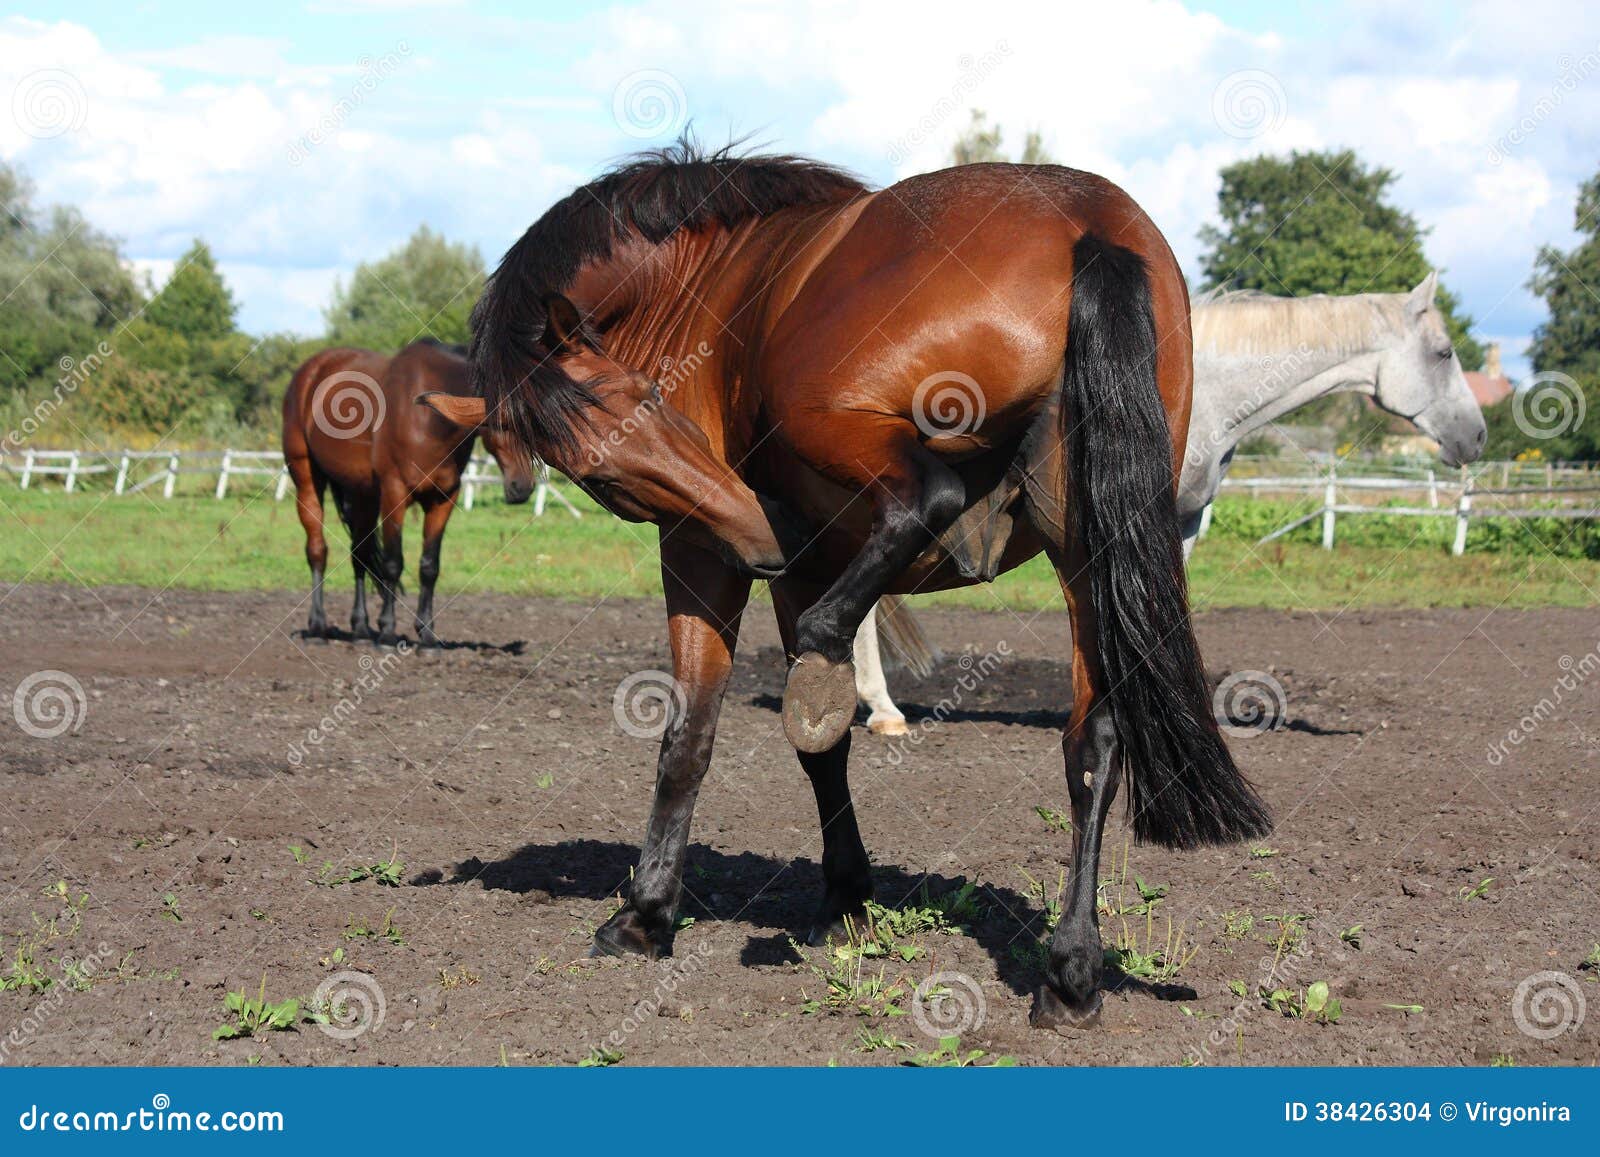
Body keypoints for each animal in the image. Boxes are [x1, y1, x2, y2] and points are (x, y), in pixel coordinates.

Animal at [282, 338, 534, 648]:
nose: (522, 487)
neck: (428, 421)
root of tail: (311, 370)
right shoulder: (395, 494)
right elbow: (393, 562)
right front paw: (388, 632)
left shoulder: (443, 498)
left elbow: (429, 566)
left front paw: (427, 636)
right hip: (307, 479)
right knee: (317, 550)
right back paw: (318, 628)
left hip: (363, 494)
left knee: (360, 555)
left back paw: (361, 630)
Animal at [426, 143, 1271, 1029]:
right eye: (598, 471)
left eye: (650, 396)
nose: (761, 525)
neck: (704, 276)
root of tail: (1086, 220)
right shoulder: (796, 562)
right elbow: (819, 754)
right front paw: (844, 898)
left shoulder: (704, 552)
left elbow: (691, 737)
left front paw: (645, 913)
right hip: (1083, 544)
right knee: (1094, 742)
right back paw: (1070, 970)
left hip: (829, 424)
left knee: (927, 496)